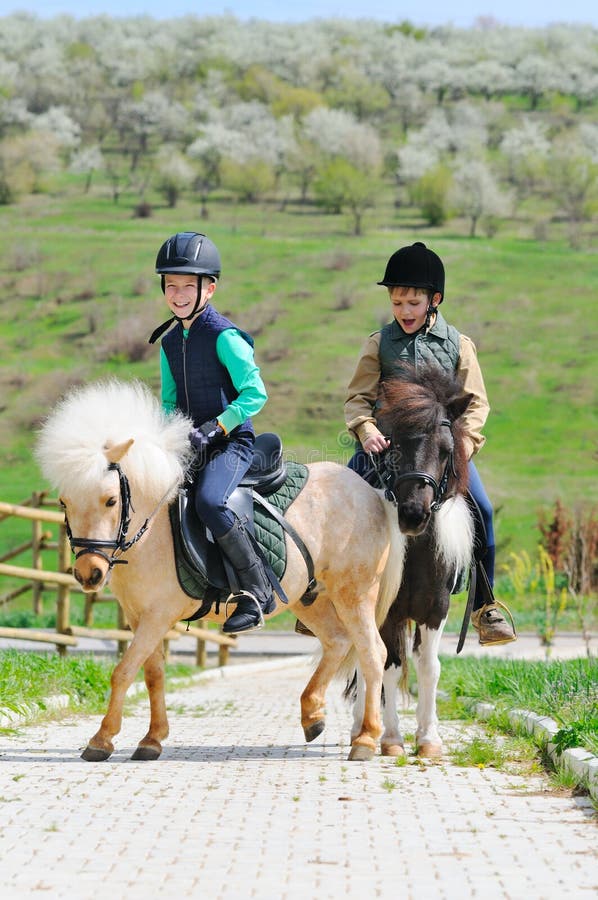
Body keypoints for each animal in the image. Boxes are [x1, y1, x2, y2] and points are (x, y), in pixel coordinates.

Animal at [36, 379, 405, 763]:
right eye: (64, 502)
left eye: (110, 500)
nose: (88, 573)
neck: (150, 529)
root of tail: (374, 493)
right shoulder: (141, 618)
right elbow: (153, 673)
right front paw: (152, 739)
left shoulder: (157, 616)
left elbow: (123, 672)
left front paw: (101, 739)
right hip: (309, 597)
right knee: (337, 641)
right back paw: (312, 714)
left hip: (355, 595)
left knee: (373, 654)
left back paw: (366, 739)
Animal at [349, 364, 474, 758]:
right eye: (394, 446)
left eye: (447, 449)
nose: (413, 515)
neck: (416, 554)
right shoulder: (389, 611)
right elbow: (389, 666)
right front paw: (390, 739)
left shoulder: (436, 609)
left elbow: (429, 667)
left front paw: (428, 737)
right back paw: (360, 730)